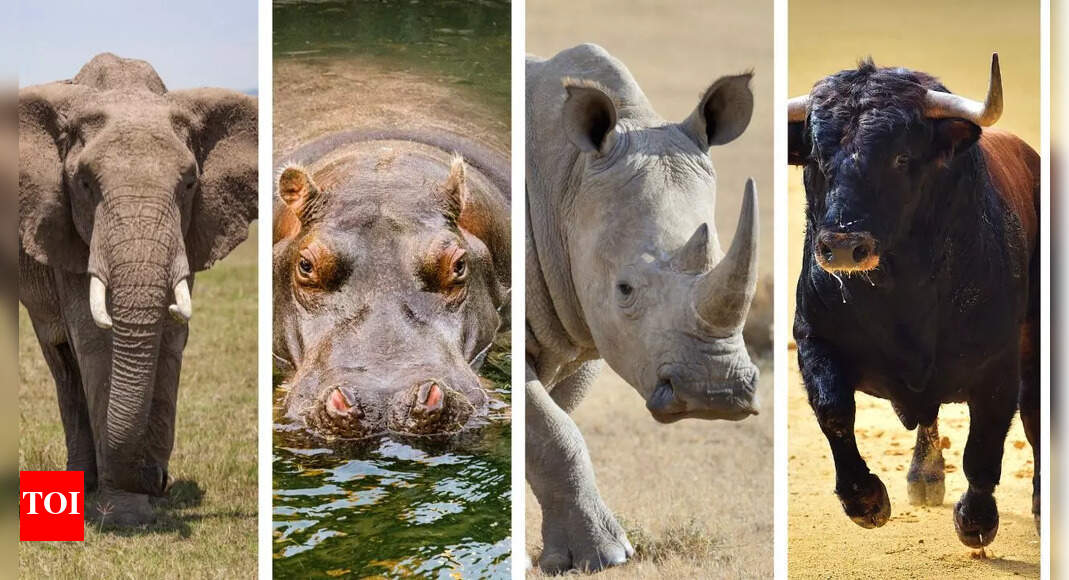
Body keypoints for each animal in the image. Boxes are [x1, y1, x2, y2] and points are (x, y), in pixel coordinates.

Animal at [18, 53, 257, 526]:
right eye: (85, 184)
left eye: (189, 183)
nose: (160, 480)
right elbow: (94, 343)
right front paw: (123, 514)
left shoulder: (187, 234)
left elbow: (171, 337)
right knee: (62, 361)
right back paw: (82, 483)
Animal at [525, 44, 761, 573]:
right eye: (625, 289)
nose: (715, 394)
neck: (566, 183)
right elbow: (552, 432)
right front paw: (604, 558)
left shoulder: (578, 326)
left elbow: (552, 425)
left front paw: (560, 559)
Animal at [788, 53, 1040, 549]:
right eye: (817, 158)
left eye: (900, 156)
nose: (842, 247)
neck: (901, 297)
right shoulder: (813, 337)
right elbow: (834, 412)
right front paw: (865, 501)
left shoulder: (998, 364)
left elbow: (986, 440)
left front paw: (976, 519)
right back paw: (925, 477)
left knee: (1035, 418)